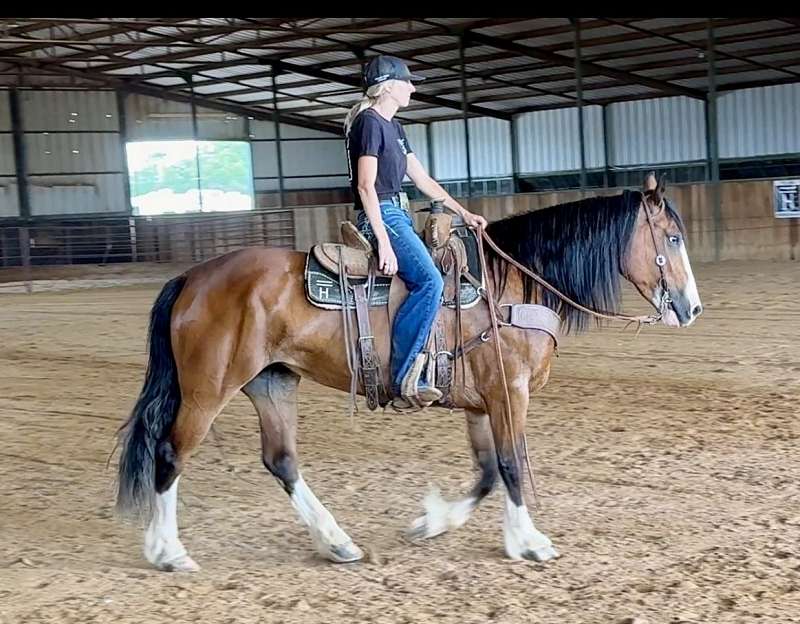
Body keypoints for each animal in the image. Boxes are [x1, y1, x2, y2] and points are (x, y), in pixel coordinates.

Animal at [114, 173, 702, 571]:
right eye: (672, 238)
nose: (692, 309)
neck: (509, 285)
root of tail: (192, 277)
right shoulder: (509, 393)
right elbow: (512, 464)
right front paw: (530, 541)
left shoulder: (480, 401)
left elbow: (488, 472)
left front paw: (432, 523)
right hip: (208, 389)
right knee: (170, 453)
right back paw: (167, 551)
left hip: (272, 381)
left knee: (281, 461)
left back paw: (337, 542)